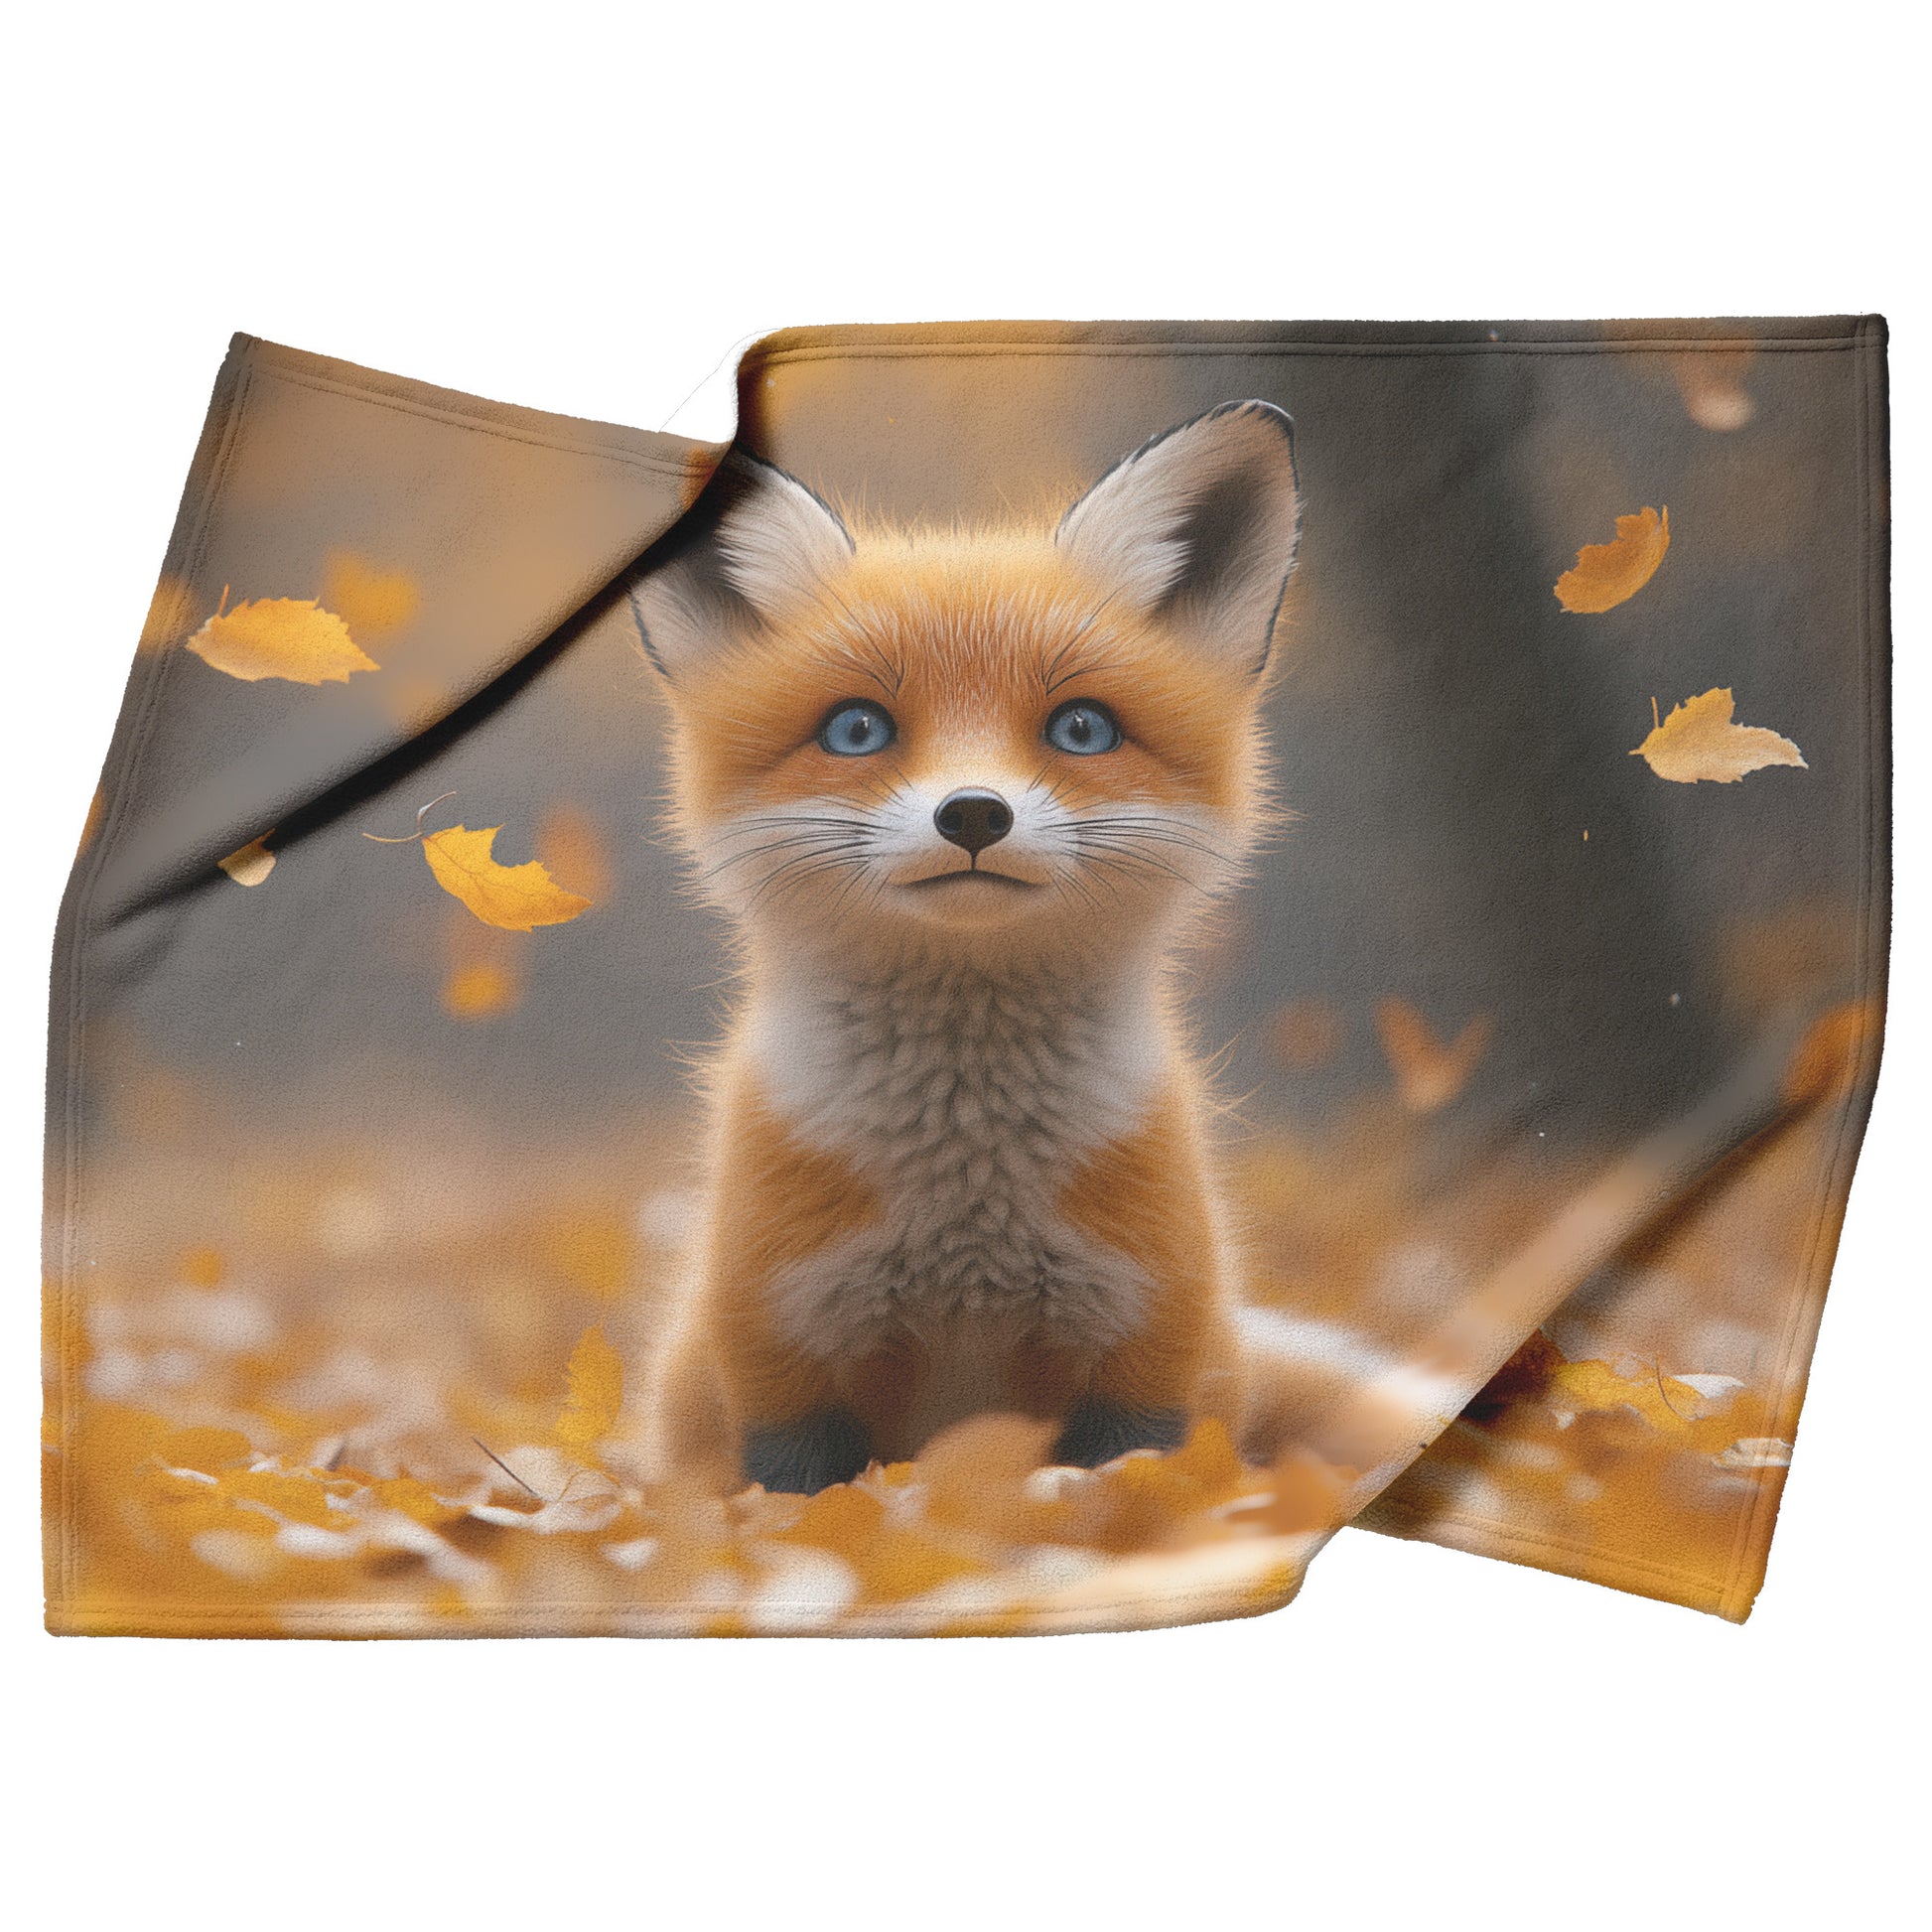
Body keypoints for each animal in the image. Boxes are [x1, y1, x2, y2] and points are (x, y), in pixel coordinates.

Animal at [626, 400, 1303, 1495]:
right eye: (857, 728)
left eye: (1081, 728)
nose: (974, 813)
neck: (966, 1195)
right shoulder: (780, 1360)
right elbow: (797, 1497)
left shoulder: (1147, 1354)